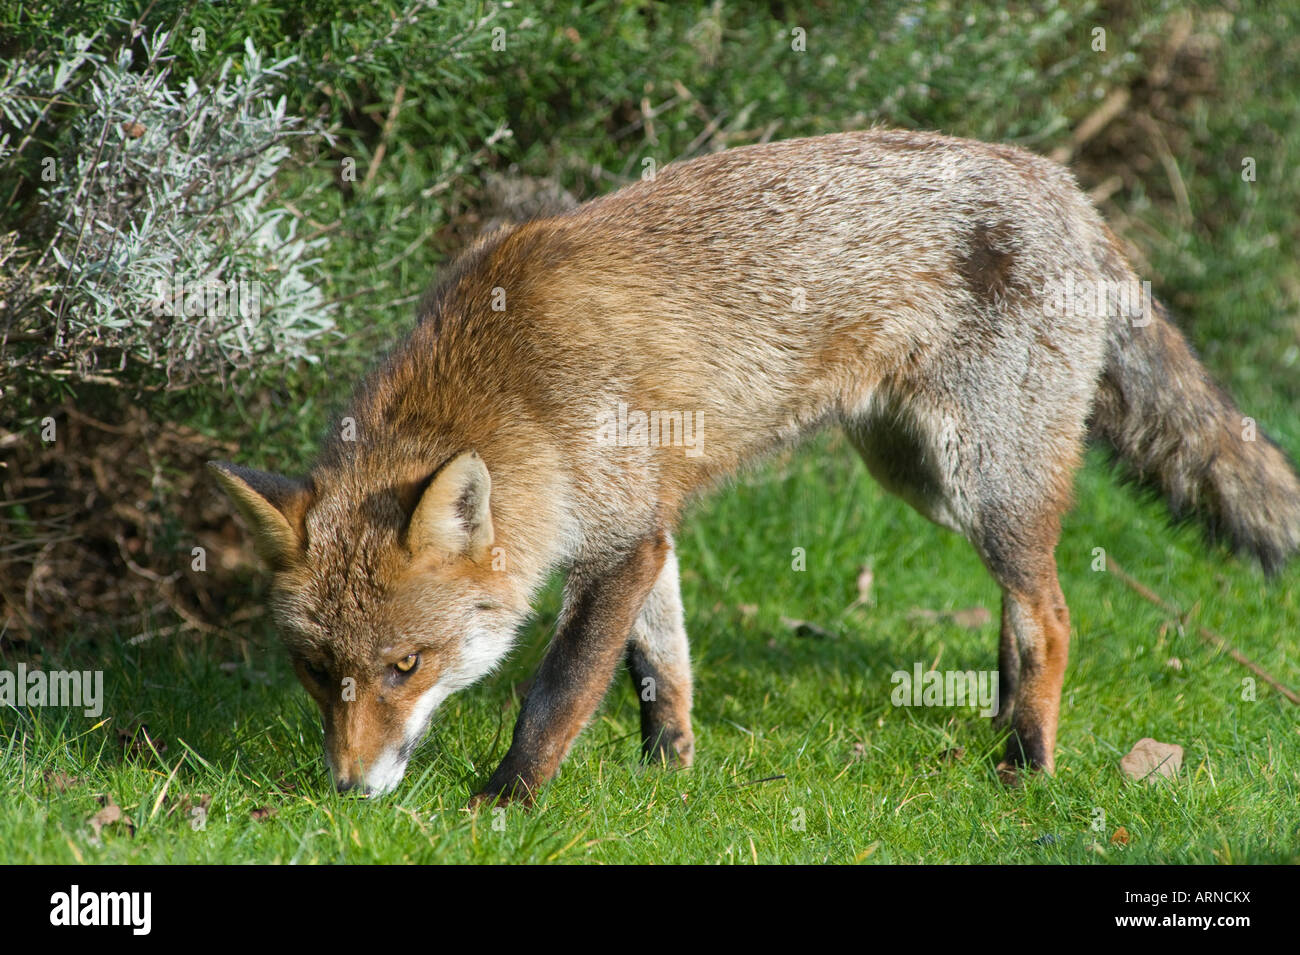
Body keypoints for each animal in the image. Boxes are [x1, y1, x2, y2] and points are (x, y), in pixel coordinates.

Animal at [210, 128, 1300, 804]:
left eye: (407, 664)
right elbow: (661, 667)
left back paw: (1027, 764)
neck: (519, 387)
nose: (347, 791)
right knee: (1028, 597)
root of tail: (1069, 189)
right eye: (317, 669)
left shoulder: (615, 538)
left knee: (1054, 615)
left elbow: (560, 687)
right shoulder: (641, 532)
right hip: (923, 478)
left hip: (982, 475)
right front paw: (669, 774)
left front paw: (508, 798)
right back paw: (1001, 719)